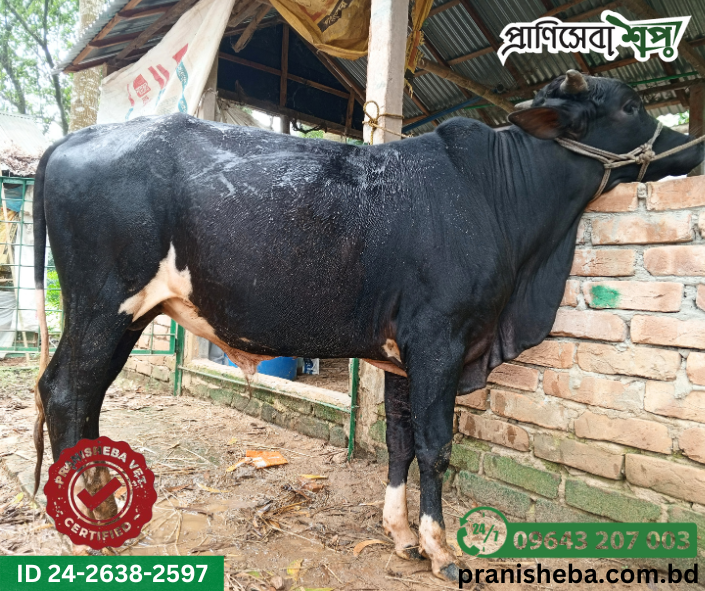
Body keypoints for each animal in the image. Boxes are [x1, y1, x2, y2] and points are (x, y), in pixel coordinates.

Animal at [33, 71, 702, 578]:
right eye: (631, 105)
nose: (693, 145)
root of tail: (74, 139)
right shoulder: (439, 338)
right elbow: (435, 445)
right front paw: (440, 550)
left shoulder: (403, 353)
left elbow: (400, 440)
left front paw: (401, 535)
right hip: (104, 307)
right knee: (67, 392)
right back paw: (91, 525)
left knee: (78, 396)